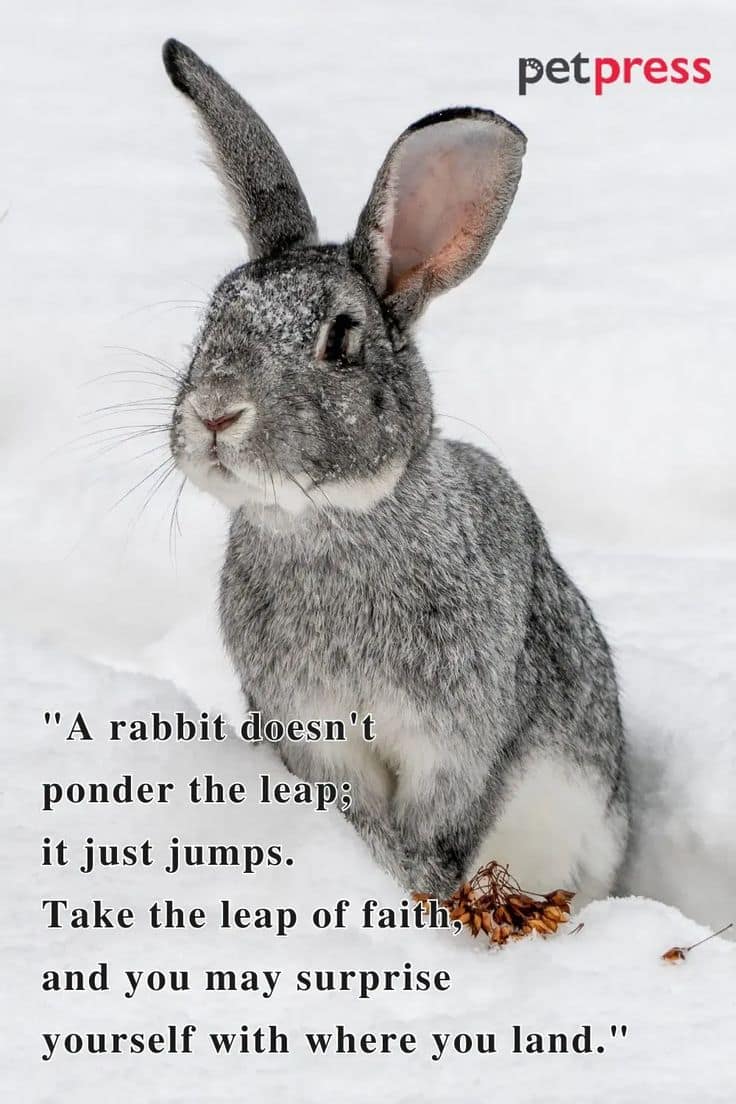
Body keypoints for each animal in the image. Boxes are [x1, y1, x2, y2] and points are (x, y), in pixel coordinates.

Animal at [162, 39, 630, 904]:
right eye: (213, 319)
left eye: (342, 341)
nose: (214, 413)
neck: (332, 522)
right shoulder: (314, 737)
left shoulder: (461, 744)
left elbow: (443, 827)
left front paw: (425, 891)